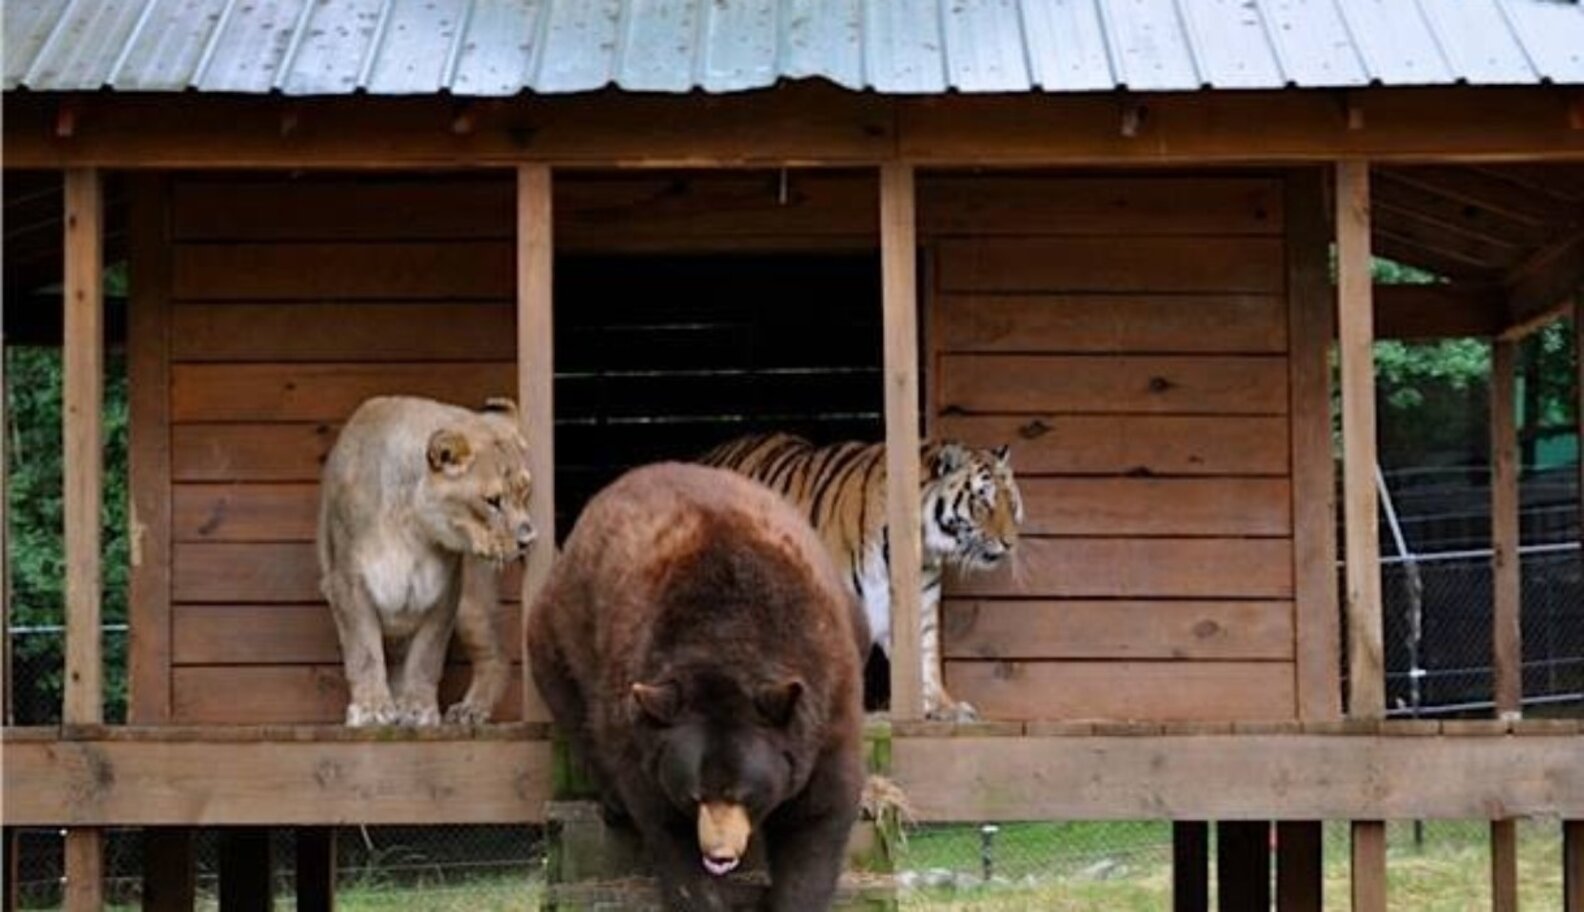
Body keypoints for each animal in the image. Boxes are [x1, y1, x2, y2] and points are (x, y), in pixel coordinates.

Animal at [317, 395, 536, 727]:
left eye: (524, 492)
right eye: (492, 501)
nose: (528, 539)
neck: (412, 528)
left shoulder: (445, 590)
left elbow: (426, 657)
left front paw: (419, 709)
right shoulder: (347, 582)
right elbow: (364, 651)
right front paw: (372, 709)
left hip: (471, 606)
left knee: (497, 657)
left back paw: (471, 710)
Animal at [527, 463, 868, 912]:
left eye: (744, 794)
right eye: (695, 795)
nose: (719, 855)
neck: (726, 638)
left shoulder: (824, 686)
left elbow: (819, 812)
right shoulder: (644, 725)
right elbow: (666, 825)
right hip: (562, 630)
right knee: (575, 704)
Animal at [699, 432, 1023, 722]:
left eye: (1011, 503)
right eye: (982, 503)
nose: (1010, 543)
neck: (922, 547)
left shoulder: (920, 600)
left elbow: (926, 654)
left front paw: (945, 707)